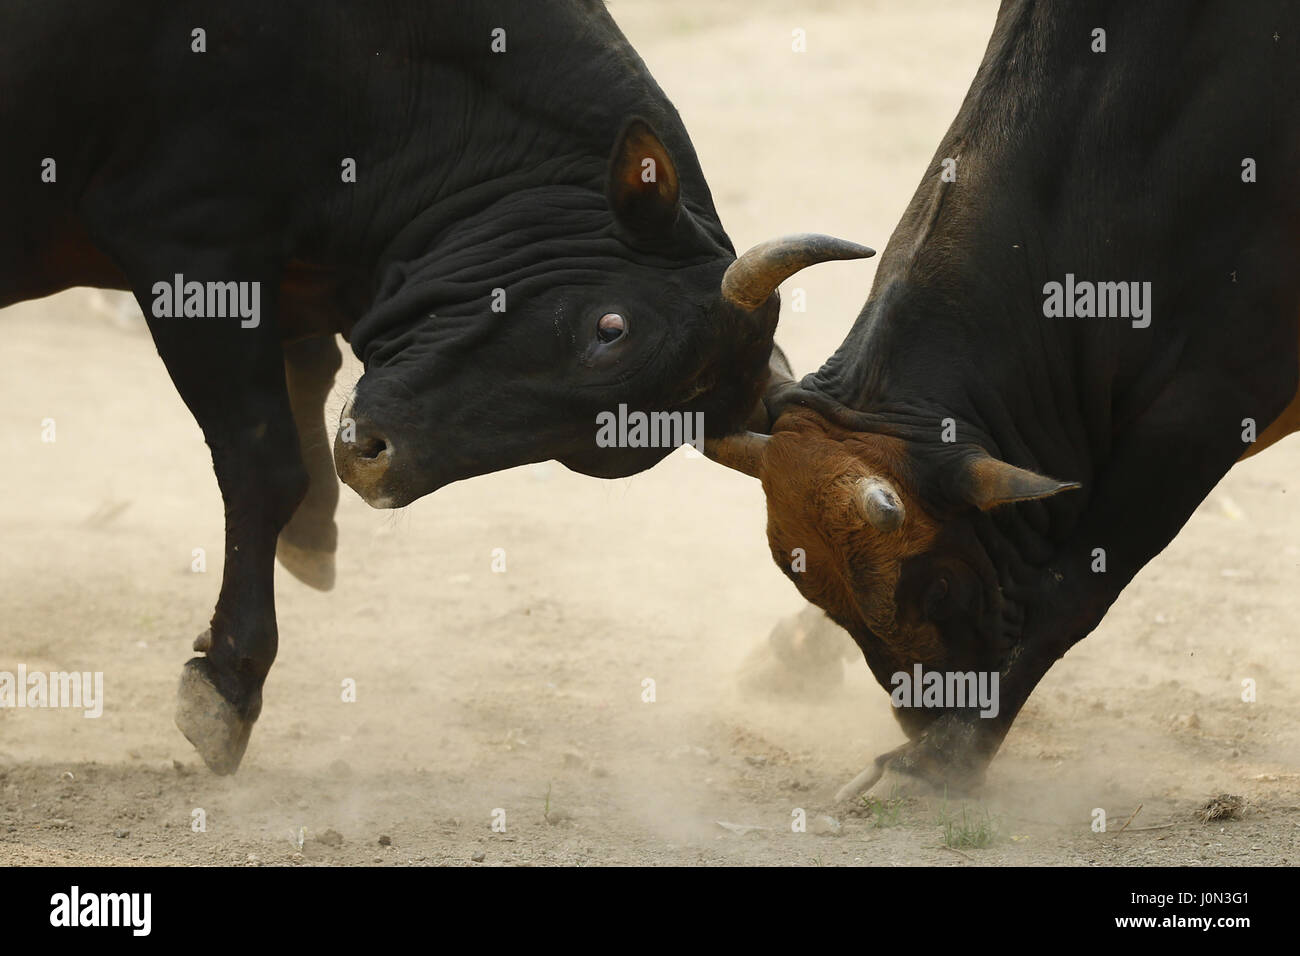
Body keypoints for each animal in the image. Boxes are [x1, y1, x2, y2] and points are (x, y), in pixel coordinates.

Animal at [1, 0, 870, 774]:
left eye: (606, 452)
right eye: (610, 328)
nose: (377, 460)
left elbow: (306, 378)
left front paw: (311, 536)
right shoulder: (192, 245)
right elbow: (261, 463)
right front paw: (229, 681)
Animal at [707, 0, 1299, 796]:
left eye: (940, 590)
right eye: (820, 597)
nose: (923, 717)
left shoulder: (1209, 405)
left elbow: (1072, 591)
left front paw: (938, 759)